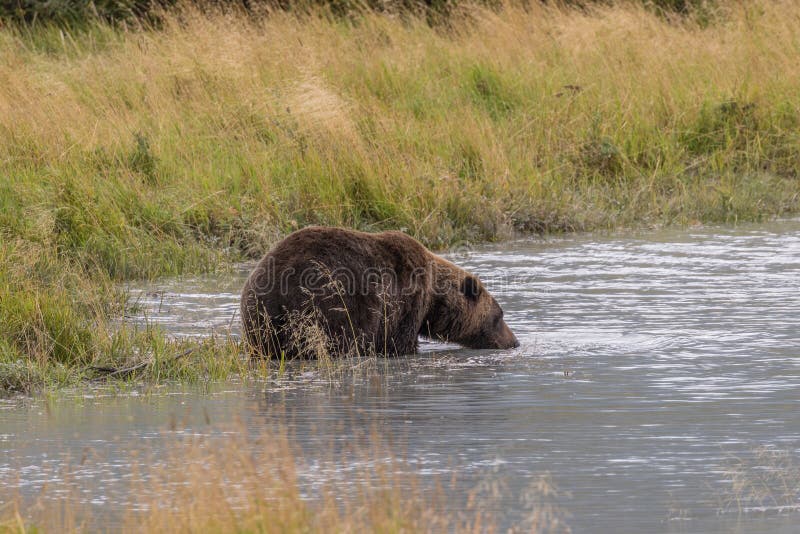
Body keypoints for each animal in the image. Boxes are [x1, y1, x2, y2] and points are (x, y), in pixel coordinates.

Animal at [240, 226, 518, 359]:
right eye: (499, 316)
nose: (514, 341)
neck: (433, 301)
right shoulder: (403, 305)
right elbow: (399, 343)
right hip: (317, 307)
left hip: (264, 324)